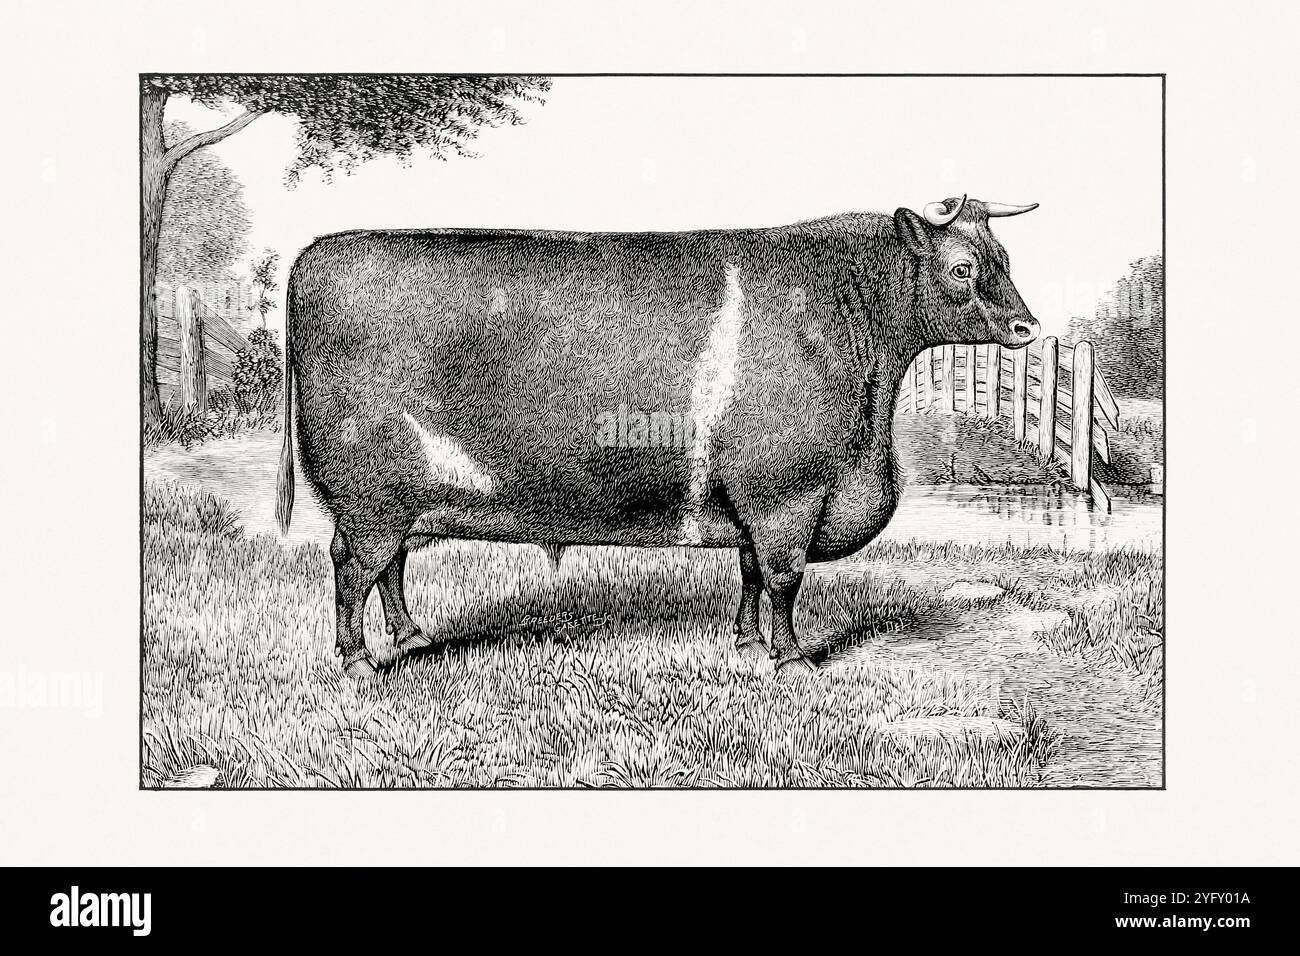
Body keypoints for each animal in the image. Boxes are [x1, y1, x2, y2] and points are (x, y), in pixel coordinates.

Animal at [275, 195, 1040, 678]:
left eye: (1005, 257)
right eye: (963, 268)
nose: (1027, 327)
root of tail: (314, 256)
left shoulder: (748, 502)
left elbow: (750, 572)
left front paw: (747, 645)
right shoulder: (785, 495)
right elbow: (784, 576)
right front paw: (792, 659)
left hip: (399, 498)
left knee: (390, 566)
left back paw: (410, 638)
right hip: (368, 496)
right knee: (353, 565)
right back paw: (358, 661)